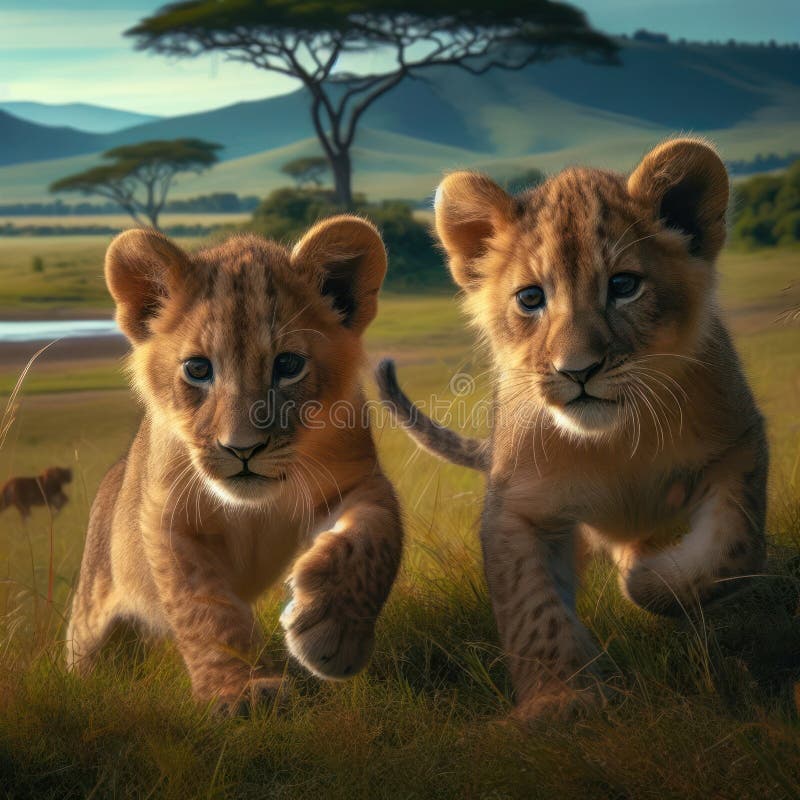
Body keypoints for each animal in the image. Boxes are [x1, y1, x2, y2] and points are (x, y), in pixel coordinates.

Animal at [66, 220, 404, 713]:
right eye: (197, 369)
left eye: (288, 364)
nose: (242, 449)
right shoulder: (169, 518)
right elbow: (205, 611)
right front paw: (240, 691)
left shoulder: (359, 480)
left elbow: (374, 538)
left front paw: (334, 637)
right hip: (91, 613)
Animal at [377, 139, 768, 720]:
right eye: (530, 298)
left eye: (624, 286)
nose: (577, 370)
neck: (616, 440)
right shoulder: (518, 505)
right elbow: (532, 608)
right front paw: (561, 700)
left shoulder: (738, 443)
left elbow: (732, 551)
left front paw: (649, 581)